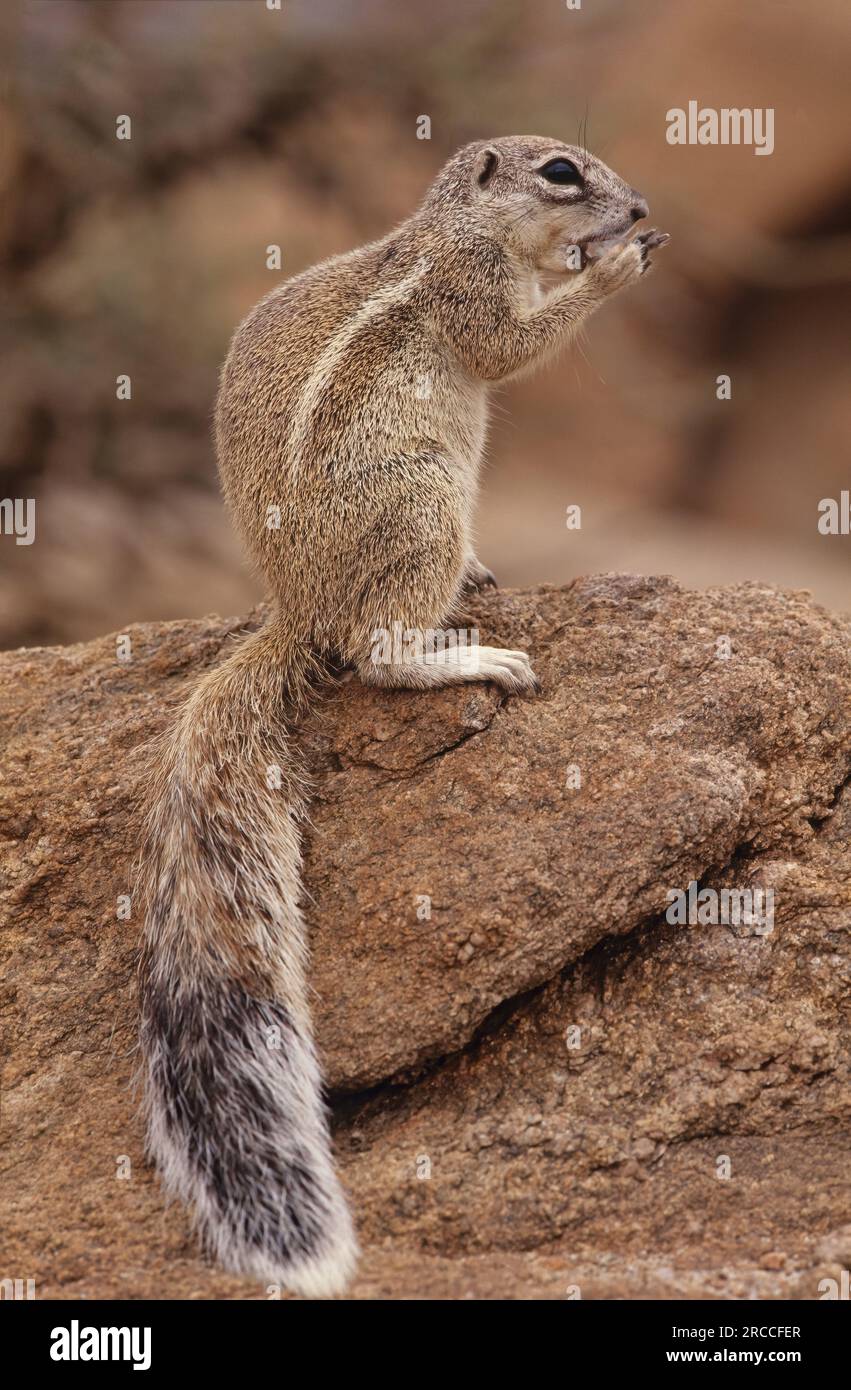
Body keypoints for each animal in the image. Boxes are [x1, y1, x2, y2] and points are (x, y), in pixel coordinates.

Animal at [138, 136, 669, 1297]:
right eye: (561, 172)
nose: (639, 208)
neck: (452, 230)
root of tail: (295, 610)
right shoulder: (471, 298)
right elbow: (513, 344)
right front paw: (615, 268)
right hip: (418, 502)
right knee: (374, 655)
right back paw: (470, 655)